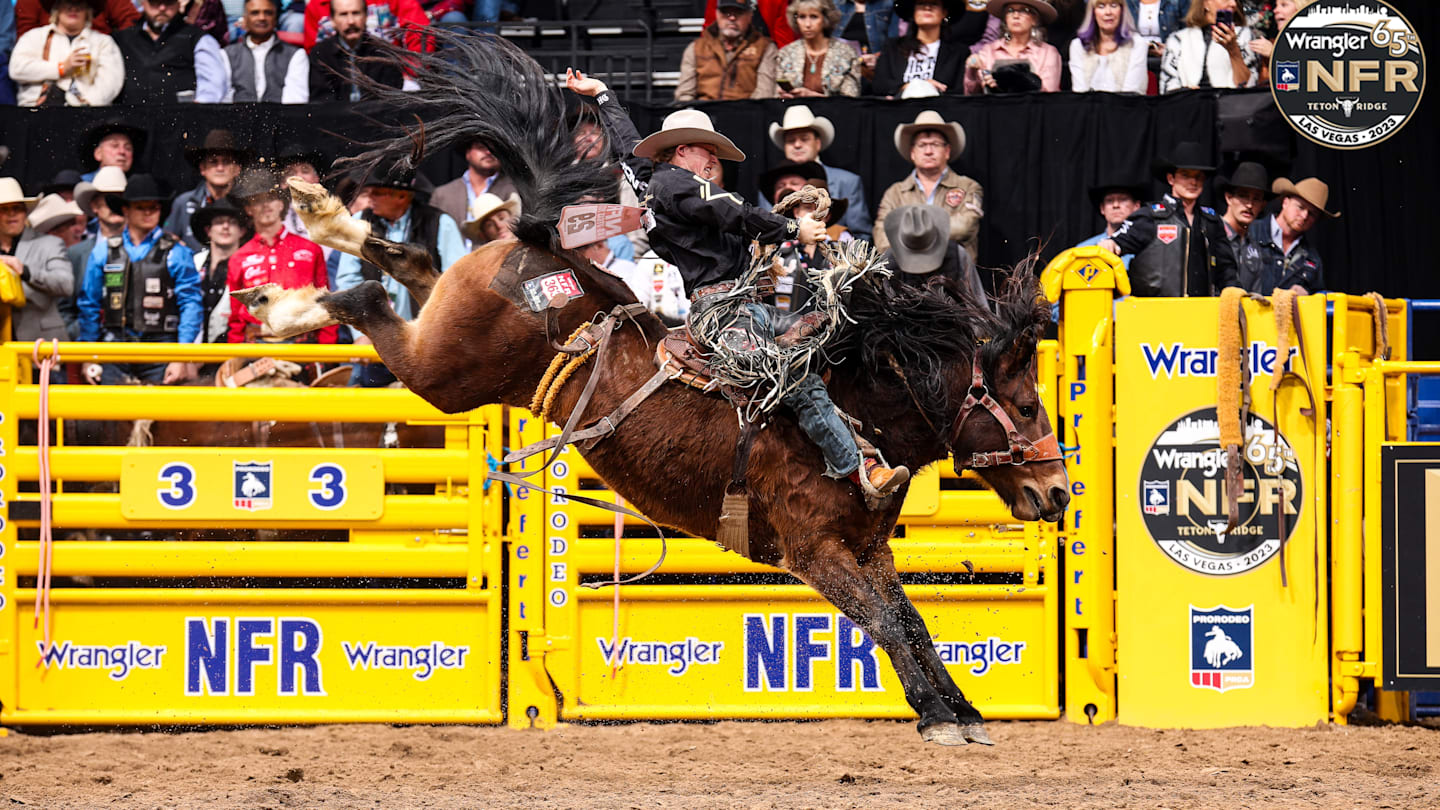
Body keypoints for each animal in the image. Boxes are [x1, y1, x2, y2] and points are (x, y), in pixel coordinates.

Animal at [234, 33, 1069, 746]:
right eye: (1027, 406)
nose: (1059, 493)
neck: (863, 410)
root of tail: (536, 240)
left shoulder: (869, 547)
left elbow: (911, 620)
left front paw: (963, 708)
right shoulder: (815, 549)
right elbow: (883, 623)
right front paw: (938, 714)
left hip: (452, 331)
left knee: (409, 265)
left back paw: (325, 240)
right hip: (448, 375)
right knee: (370, 301)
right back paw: (294, 292)